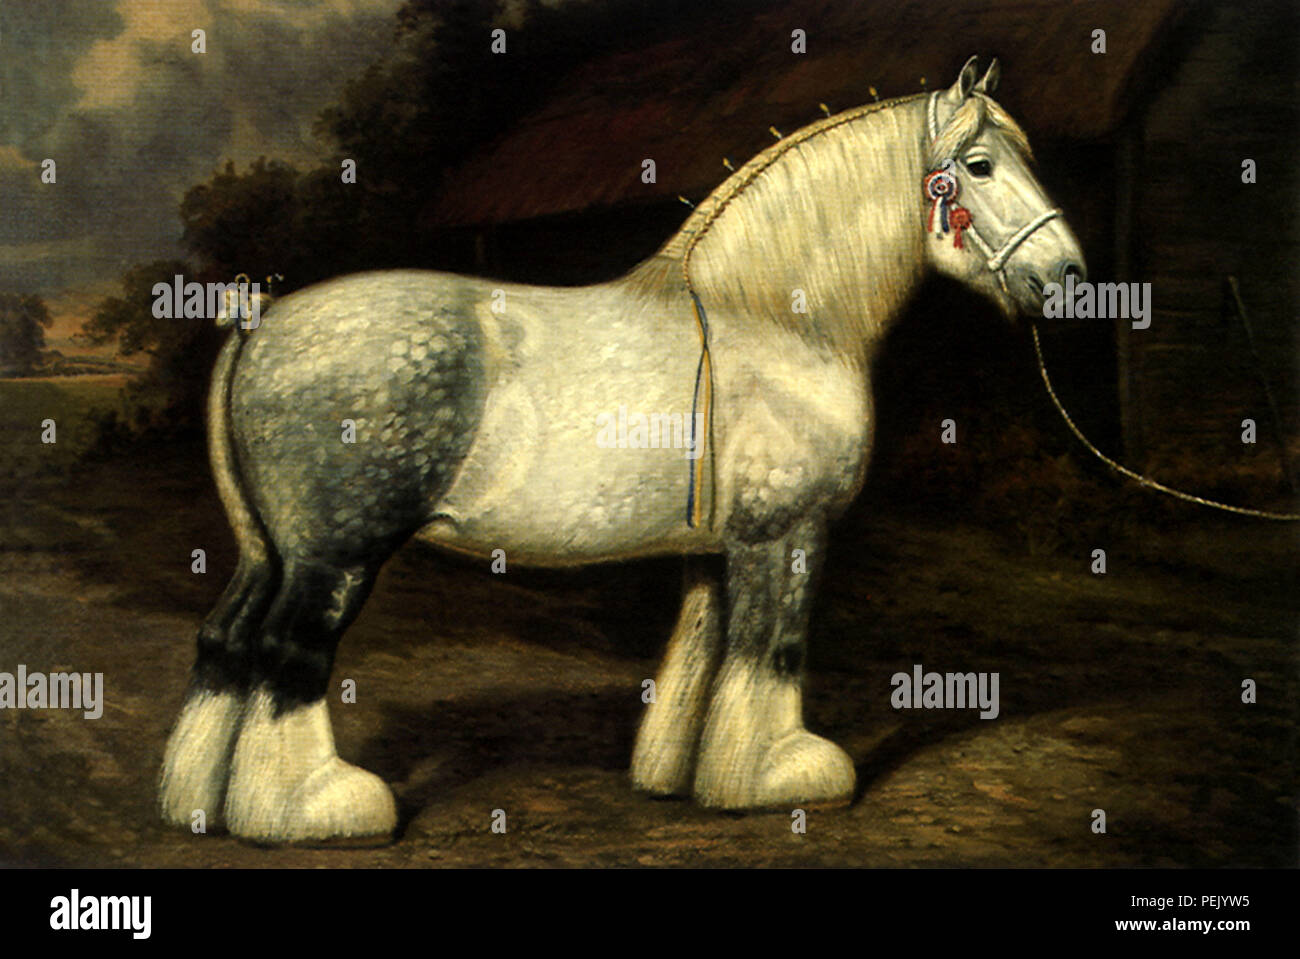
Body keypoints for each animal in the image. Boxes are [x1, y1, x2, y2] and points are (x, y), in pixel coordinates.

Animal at [159, 55, 1086, 843]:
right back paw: (317, 807)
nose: (1068, 277)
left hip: (271, 552)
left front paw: (681, 774)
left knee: (226, 642)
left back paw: (197, 801)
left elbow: (702, 656)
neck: (775, 318)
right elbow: (772, 652)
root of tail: (260, 320)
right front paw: (778, 773)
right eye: (978, 165)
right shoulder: (785, 535)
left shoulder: (717, 549)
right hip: (333, 557)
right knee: (289, 654)